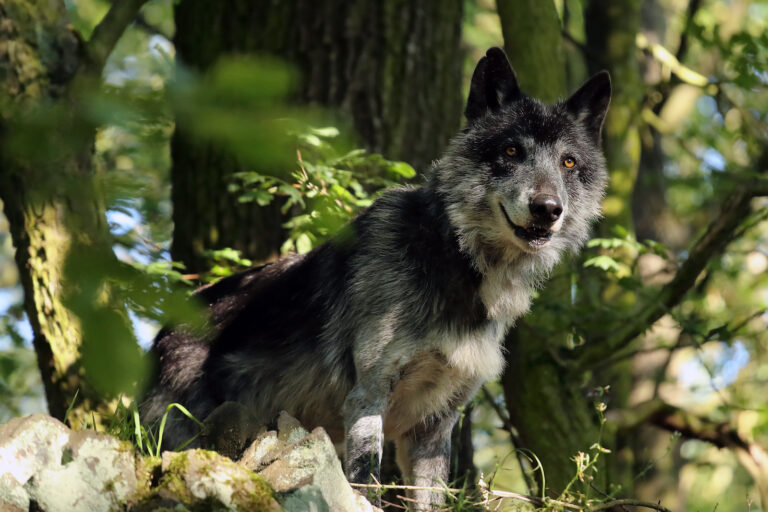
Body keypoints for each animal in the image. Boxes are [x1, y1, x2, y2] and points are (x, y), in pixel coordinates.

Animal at [140, 47, 610, 509]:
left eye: (568, 162)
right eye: (512, 151)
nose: (548, 208)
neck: (450, 255)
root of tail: (163, 333)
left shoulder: (435, 424)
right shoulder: (368, 397)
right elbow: (365, 483)